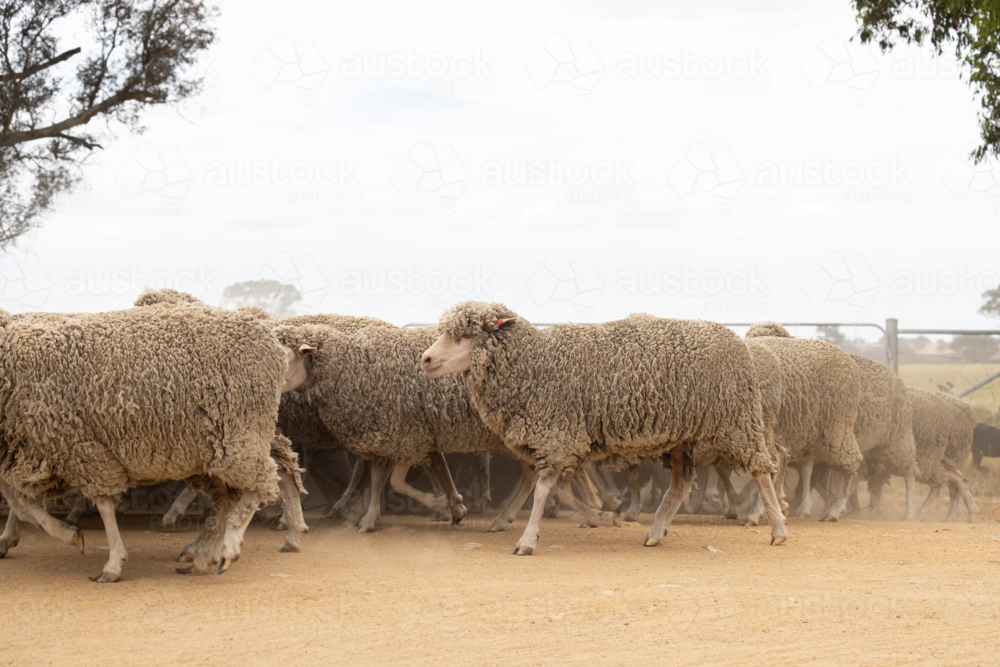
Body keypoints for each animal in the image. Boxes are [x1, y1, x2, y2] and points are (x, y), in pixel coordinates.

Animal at [0, 303, 313, 582]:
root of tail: (268, 338)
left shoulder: (82, 448)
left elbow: (98, 504)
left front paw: (106, 559)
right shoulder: (32, 453)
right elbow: (21, 502)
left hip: (239, 434)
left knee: (262, 482)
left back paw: (231, 547)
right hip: (213, 450)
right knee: (233, 497)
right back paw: (205, 557)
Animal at [271, 322, 507, 533]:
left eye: (286, 356)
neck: (353, 367)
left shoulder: (408, 436)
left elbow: (394, 481)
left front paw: (442, 501)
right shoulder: (387, 436)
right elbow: (381, 476)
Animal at [421, 302, 787, 555]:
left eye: (466, 335)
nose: (425, 359)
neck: (534, 363)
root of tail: (736, 339)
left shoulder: (558, 434)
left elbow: (543, 490)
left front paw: (527, 540)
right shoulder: (561, 441)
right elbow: (557, 490)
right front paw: (601, 515)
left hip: (737, 420)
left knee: (761, 470)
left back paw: (778, 530)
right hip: (683, 436)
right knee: (682, 482)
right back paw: (655, 533)